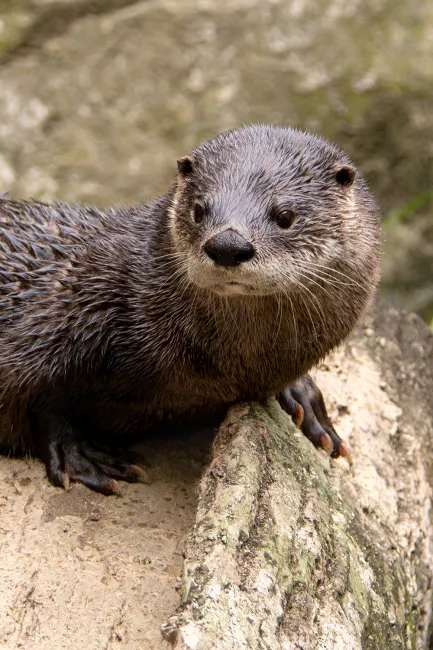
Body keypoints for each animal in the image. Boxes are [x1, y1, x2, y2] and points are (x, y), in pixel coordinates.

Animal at [0, 125, 380, 494]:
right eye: (200, 210)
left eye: (285, 216)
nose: (228, 244)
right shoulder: (66, 308)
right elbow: (33, 395)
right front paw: (79, 455)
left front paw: (304, 399)